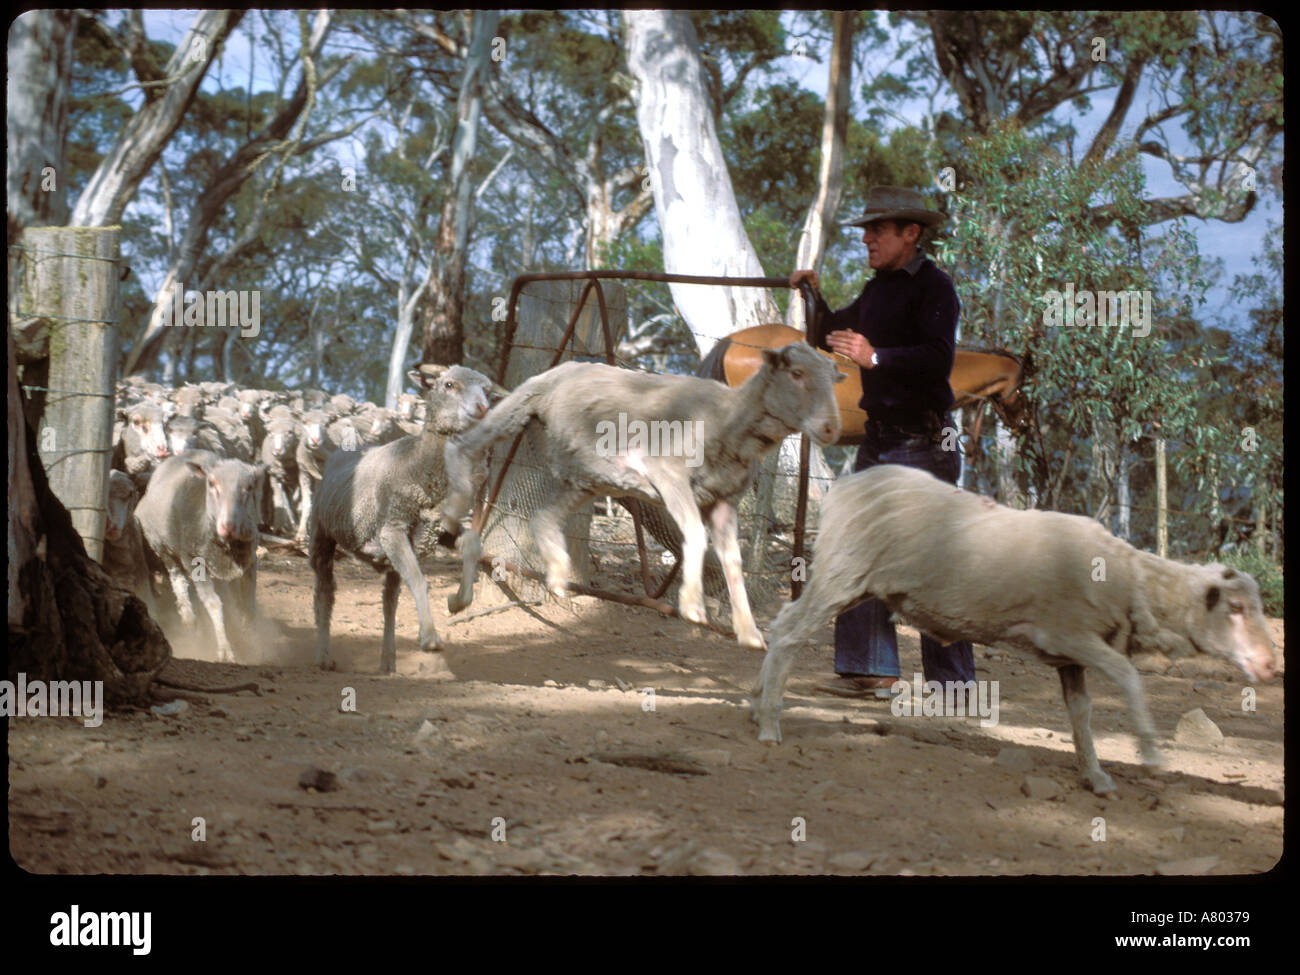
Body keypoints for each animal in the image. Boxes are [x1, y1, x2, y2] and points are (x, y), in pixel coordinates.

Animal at [135, 449, 266, 663]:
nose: (228, 526)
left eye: (250, 487)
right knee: (178, 580)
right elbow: (213, 603)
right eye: (211, 484)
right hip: (164, 549)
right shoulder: (193, 562)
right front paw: (225, 650)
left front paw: (252, 643)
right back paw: (189, 620)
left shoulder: (249, 561)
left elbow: (248, 604)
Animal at [309, 363, 499, 673]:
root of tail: (347, 448)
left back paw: (388, 661)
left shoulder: (437, 526)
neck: (418, 462)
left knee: (389, 602)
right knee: (325, 593)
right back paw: (324, 656)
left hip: (391, 556)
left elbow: (471, 542)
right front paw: (431, 639)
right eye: (448, 385)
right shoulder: (393, 528)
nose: (482, 408)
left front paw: (458, 602)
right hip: (320, 534)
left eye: (488, 391)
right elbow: (420, 580)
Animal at [441, 342, 844, 650]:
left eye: (833, 378)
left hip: (588, 479)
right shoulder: (668, 474)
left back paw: (555, 575)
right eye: (796, 373)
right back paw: (453, 538)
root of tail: (561, 368)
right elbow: (694, 534)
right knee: (462, 449)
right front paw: (692, 605)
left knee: (543, 517)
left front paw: (749, 632)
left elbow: (732, 561)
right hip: (519, 410)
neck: (729, 420)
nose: (831, 429)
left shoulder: (724, 501)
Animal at [749, 464, 1279, 796]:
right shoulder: (1067, 635)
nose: (1271, 665)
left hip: (854, 580)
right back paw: (770, 724)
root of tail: (844, 486)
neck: (1132, 581)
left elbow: (1081, 714)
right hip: (843, 570)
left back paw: (755, 705)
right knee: (791, 631)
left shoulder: (1071, 658)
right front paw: (1149, 753)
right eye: (1235, 607)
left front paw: (1096, 777)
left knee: (782, 622)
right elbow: (1130, 678)